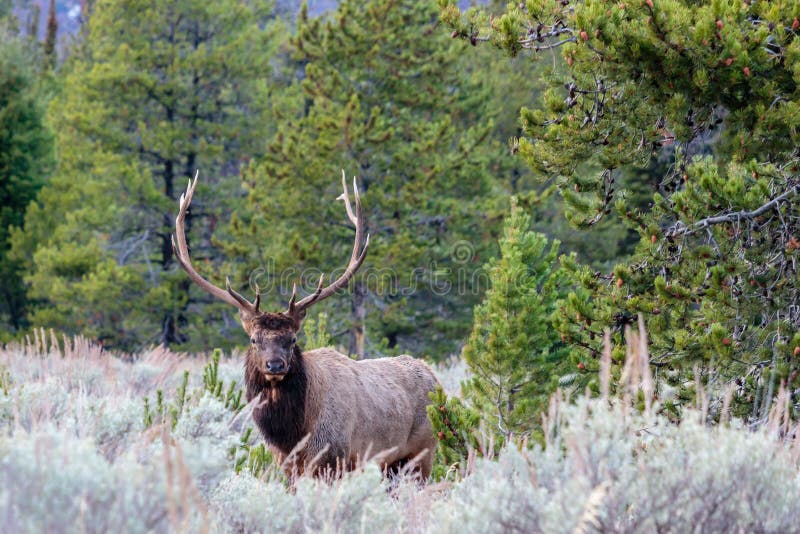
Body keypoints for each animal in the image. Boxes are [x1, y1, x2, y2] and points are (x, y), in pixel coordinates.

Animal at [172, 171, 439, 479]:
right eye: (254, 339)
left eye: (293, 339)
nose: (275, 364)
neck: (293, 436)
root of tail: (435, 378)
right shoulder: (287, 466)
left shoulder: (334, 457)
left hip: (422, 453)